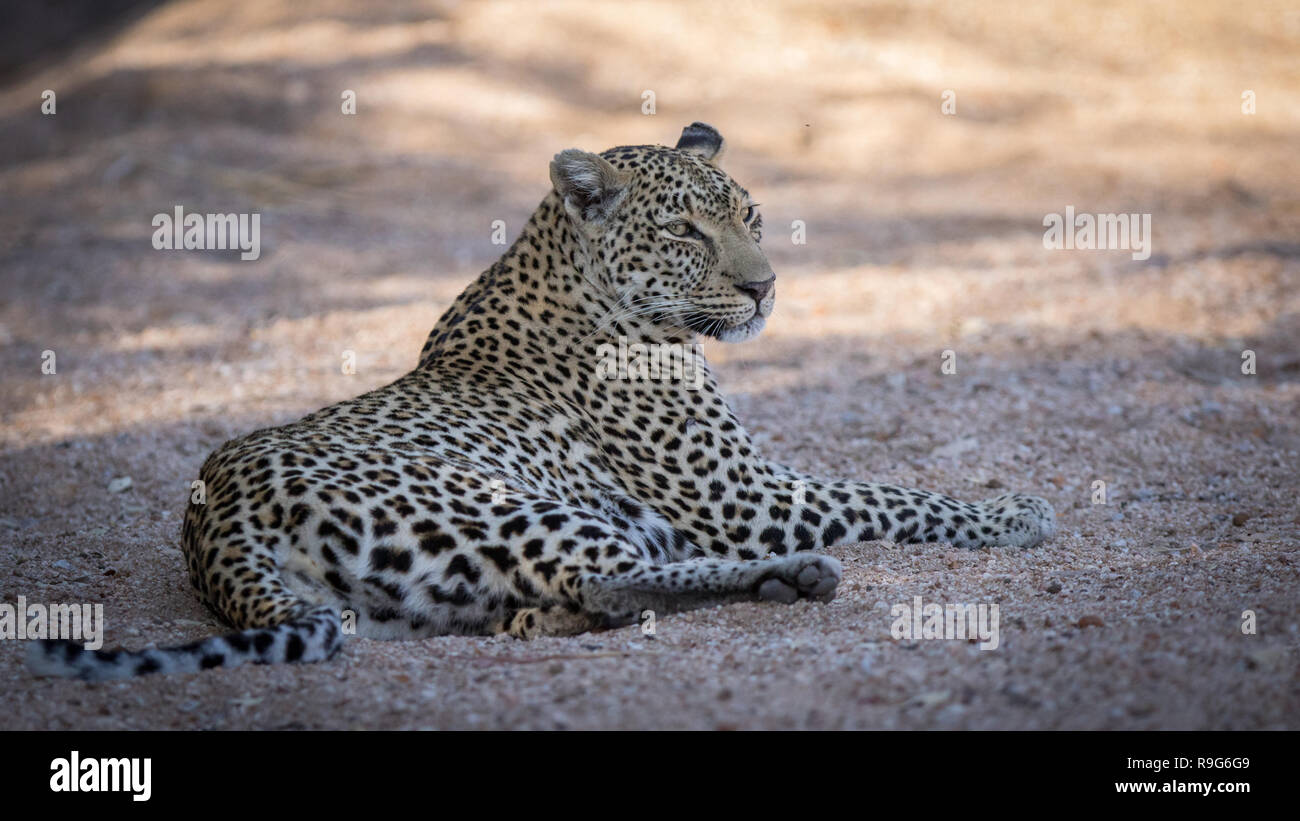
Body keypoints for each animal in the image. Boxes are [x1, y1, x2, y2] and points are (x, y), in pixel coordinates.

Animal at [29, 122, 1054, 680]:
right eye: (686, 231)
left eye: (751, 216)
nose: (766, 288)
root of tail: (213, 524)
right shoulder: (746, 496)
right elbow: (895, 494)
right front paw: (1017, 509)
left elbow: (888, 489)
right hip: (508, 504)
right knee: (609, 577)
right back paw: (794, 576)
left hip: (432, 584)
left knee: (551, 606)